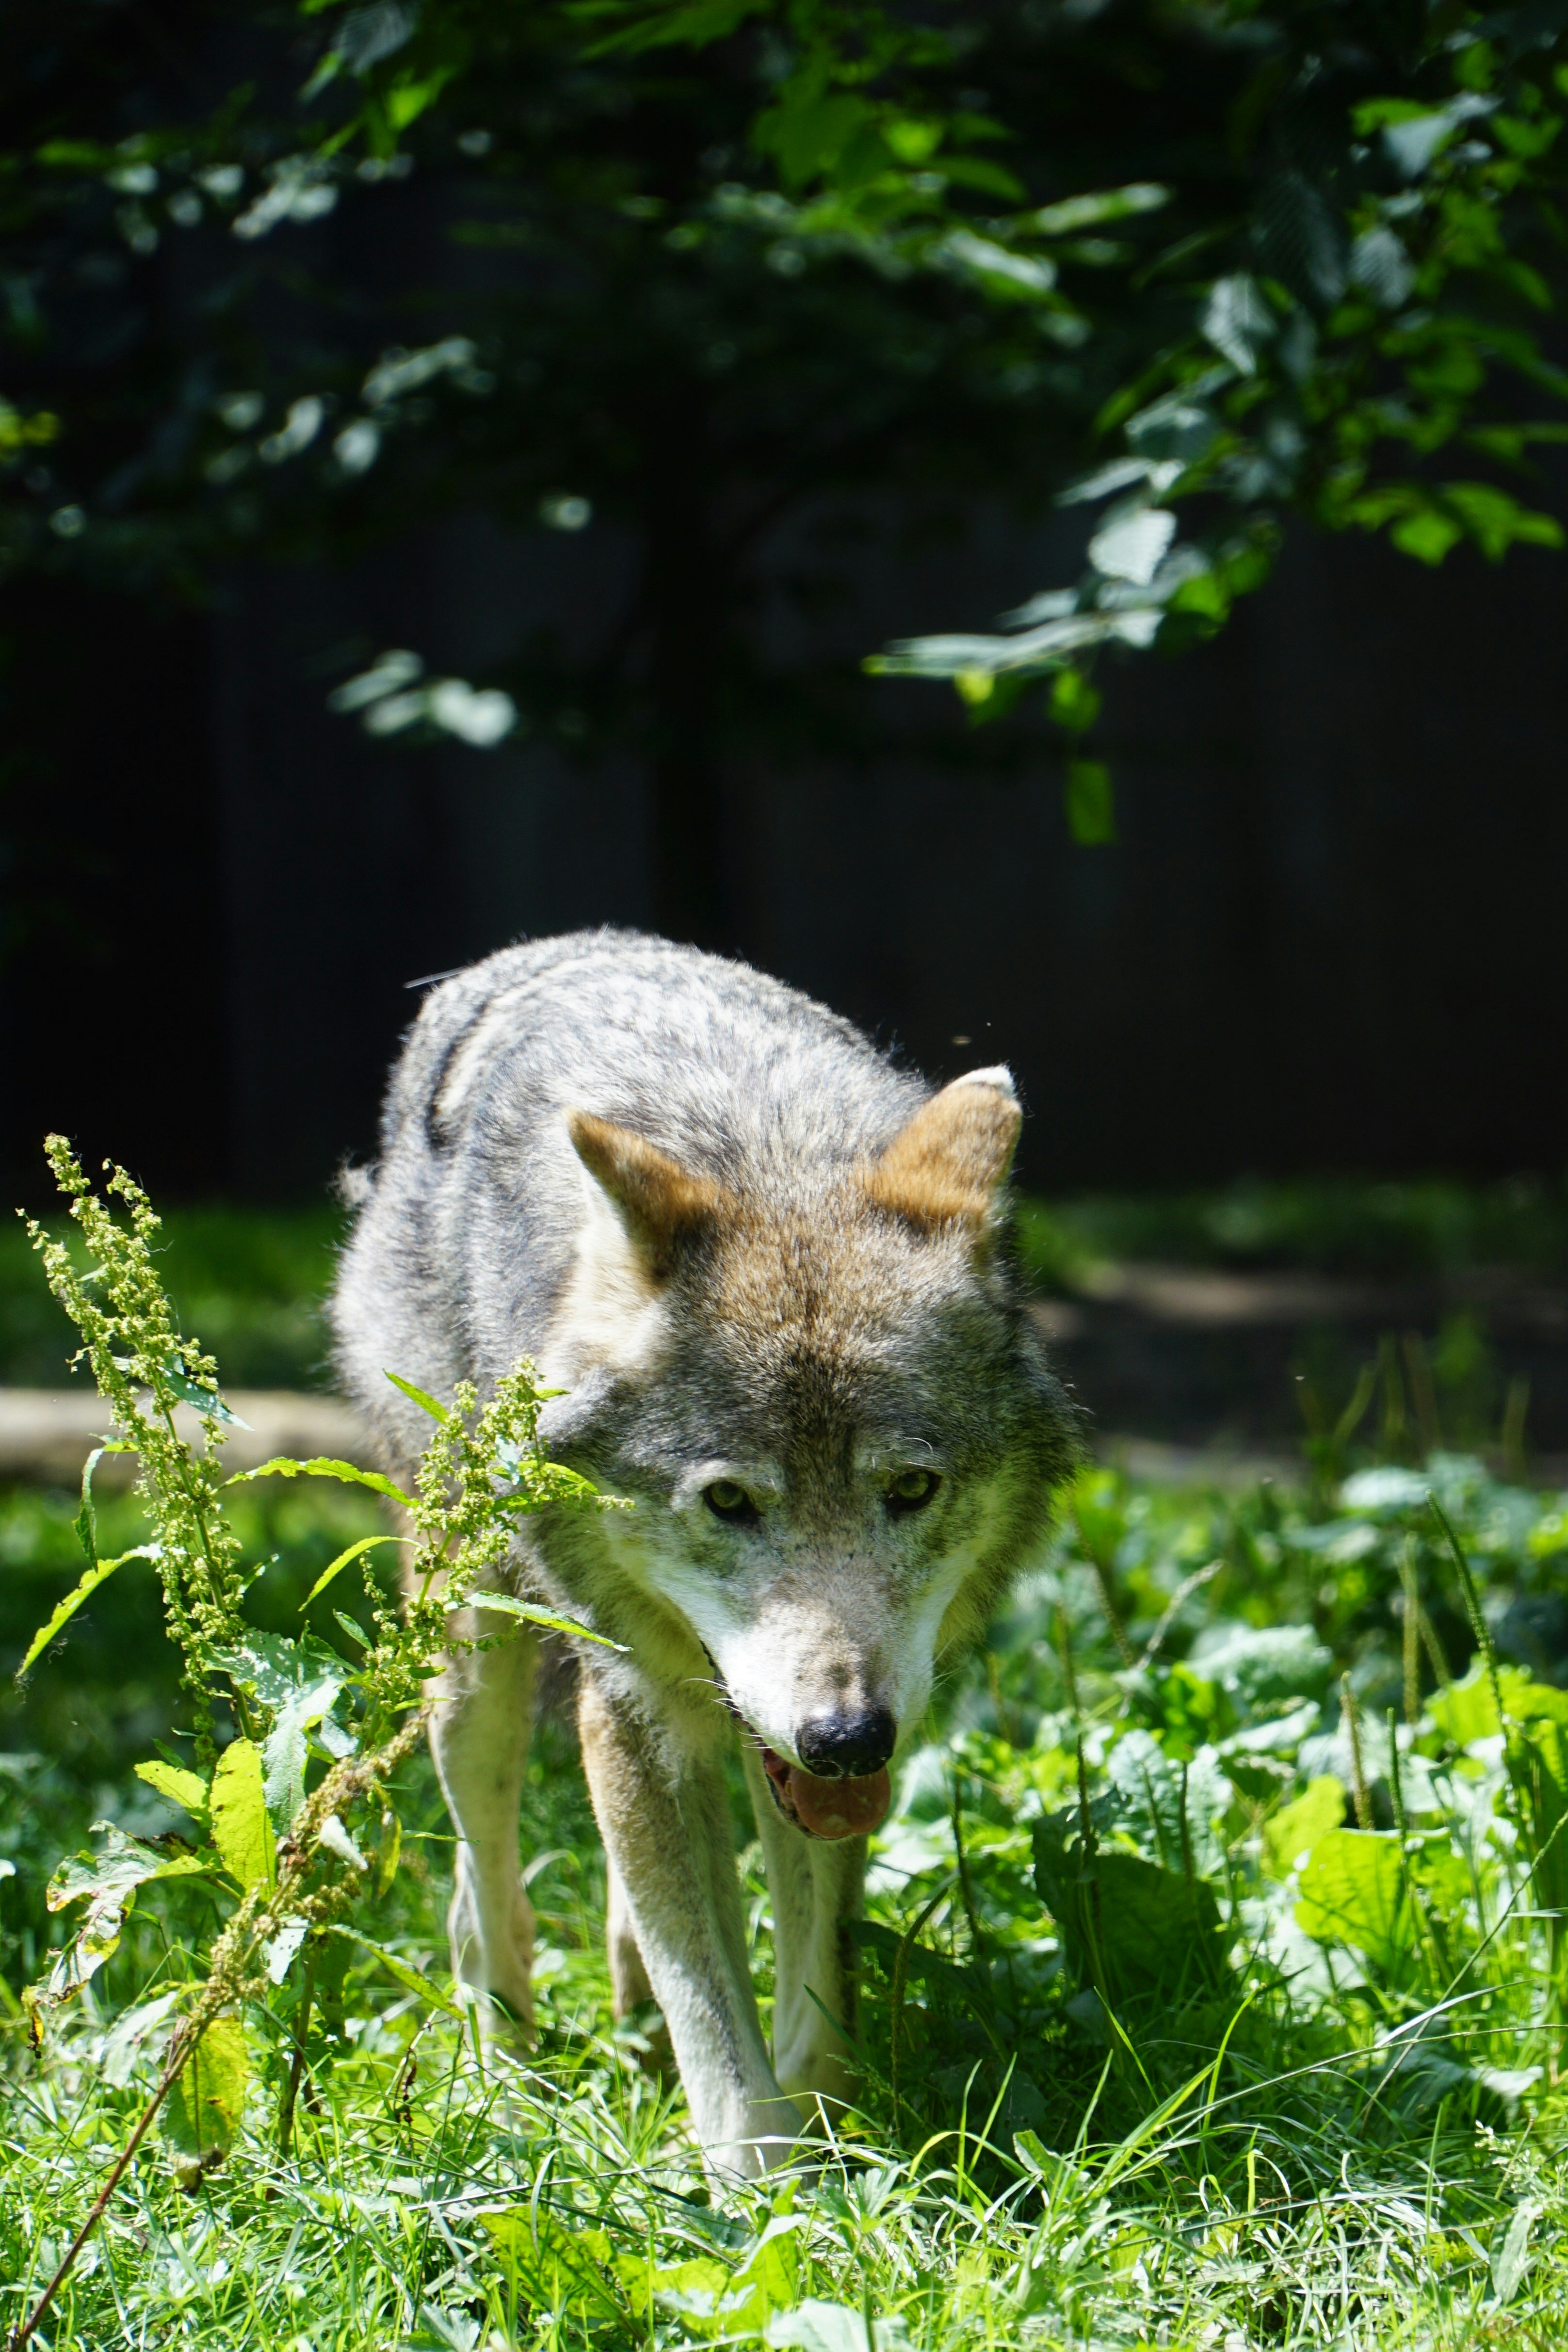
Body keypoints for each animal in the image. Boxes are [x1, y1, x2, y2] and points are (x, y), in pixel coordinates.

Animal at [331, 928, 1079, 2174]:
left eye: (909, 1488)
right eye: (728, 1500)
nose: (844, 1734)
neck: (765, 1152)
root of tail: (533, 951)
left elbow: (809, 1984)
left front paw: (825, 2149)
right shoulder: (635, 1709)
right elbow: (716, 2025)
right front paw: (762, 2195)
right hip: (474, 1662)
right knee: (481, 1886)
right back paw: (504, 2079)